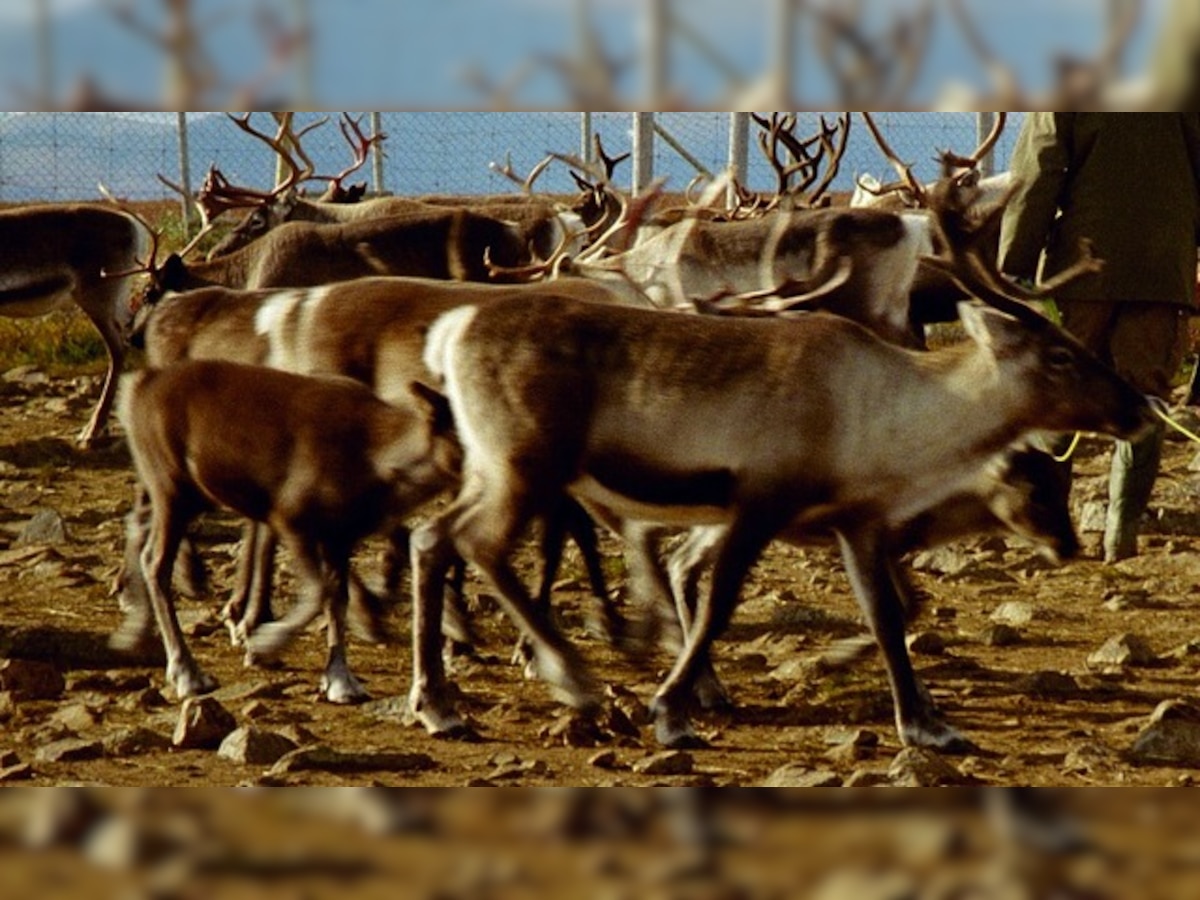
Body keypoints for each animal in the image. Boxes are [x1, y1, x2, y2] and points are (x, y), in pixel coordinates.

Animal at [118, 358, 461, 703]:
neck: (379, 462)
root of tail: (140, 384)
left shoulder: (340, 536)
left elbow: (337, 598)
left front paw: (340, 680)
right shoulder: (290, 517)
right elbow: (319, 591)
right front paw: (261, 645)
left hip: (189, 496)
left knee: (140, 531)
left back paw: (139, 631)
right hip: (171, 488)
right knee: (156, 562)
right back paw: (187, 673)